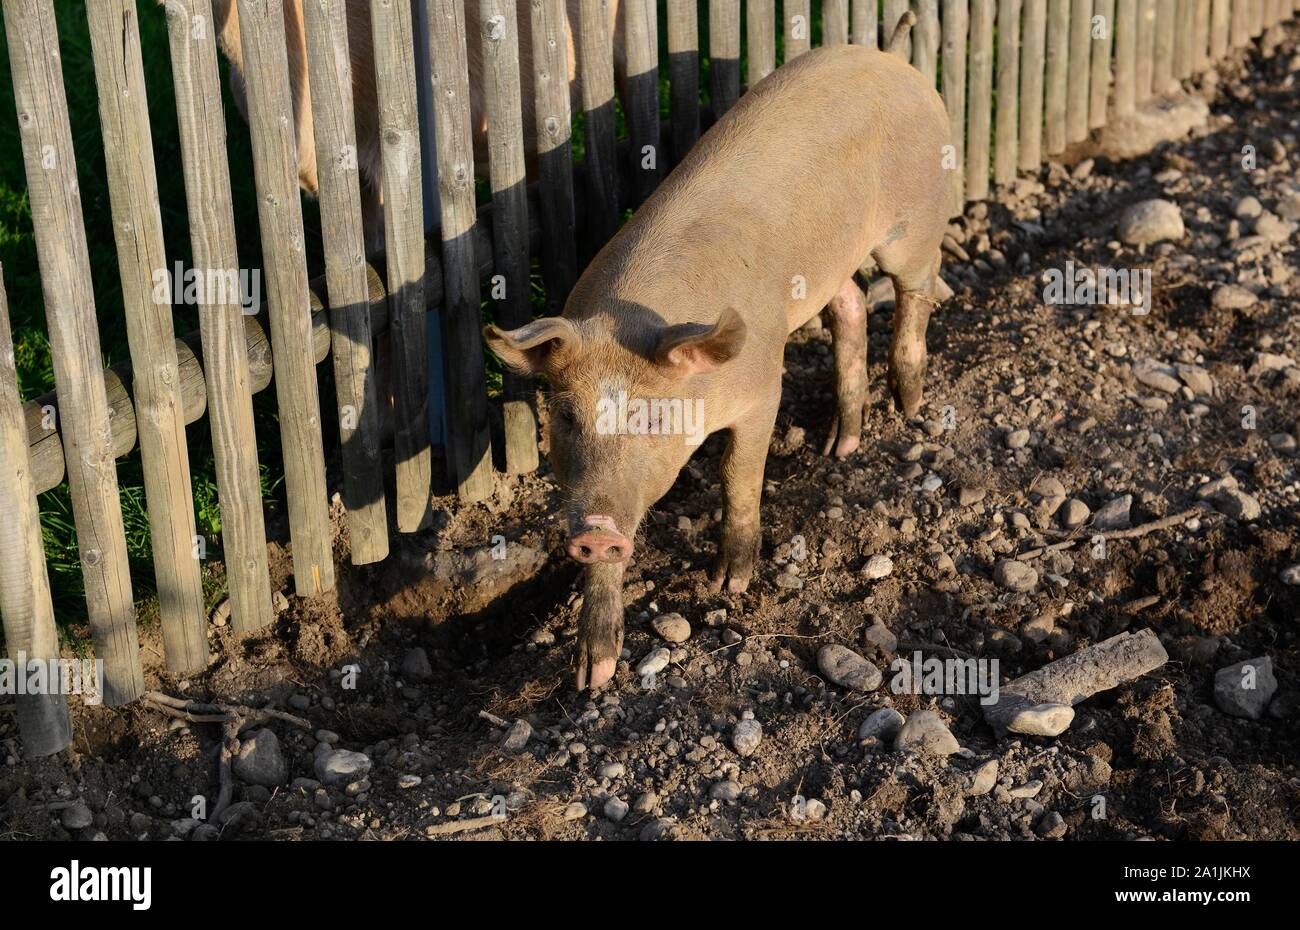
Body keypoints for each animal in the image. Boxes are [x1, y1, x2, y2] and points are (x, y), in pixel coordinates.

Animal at [484, 24, 951, 690]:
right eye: (567, 418)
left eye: (654, 418)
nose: (596, 533)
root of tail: (892, 60)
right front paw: (591, 677)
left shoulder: (762, 387)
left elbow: (738, 477)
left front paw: (728, 585)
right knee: (851, 304)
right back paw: (840, 447)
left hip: (913, 222)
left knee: (914, 292)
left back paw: (909, 408)